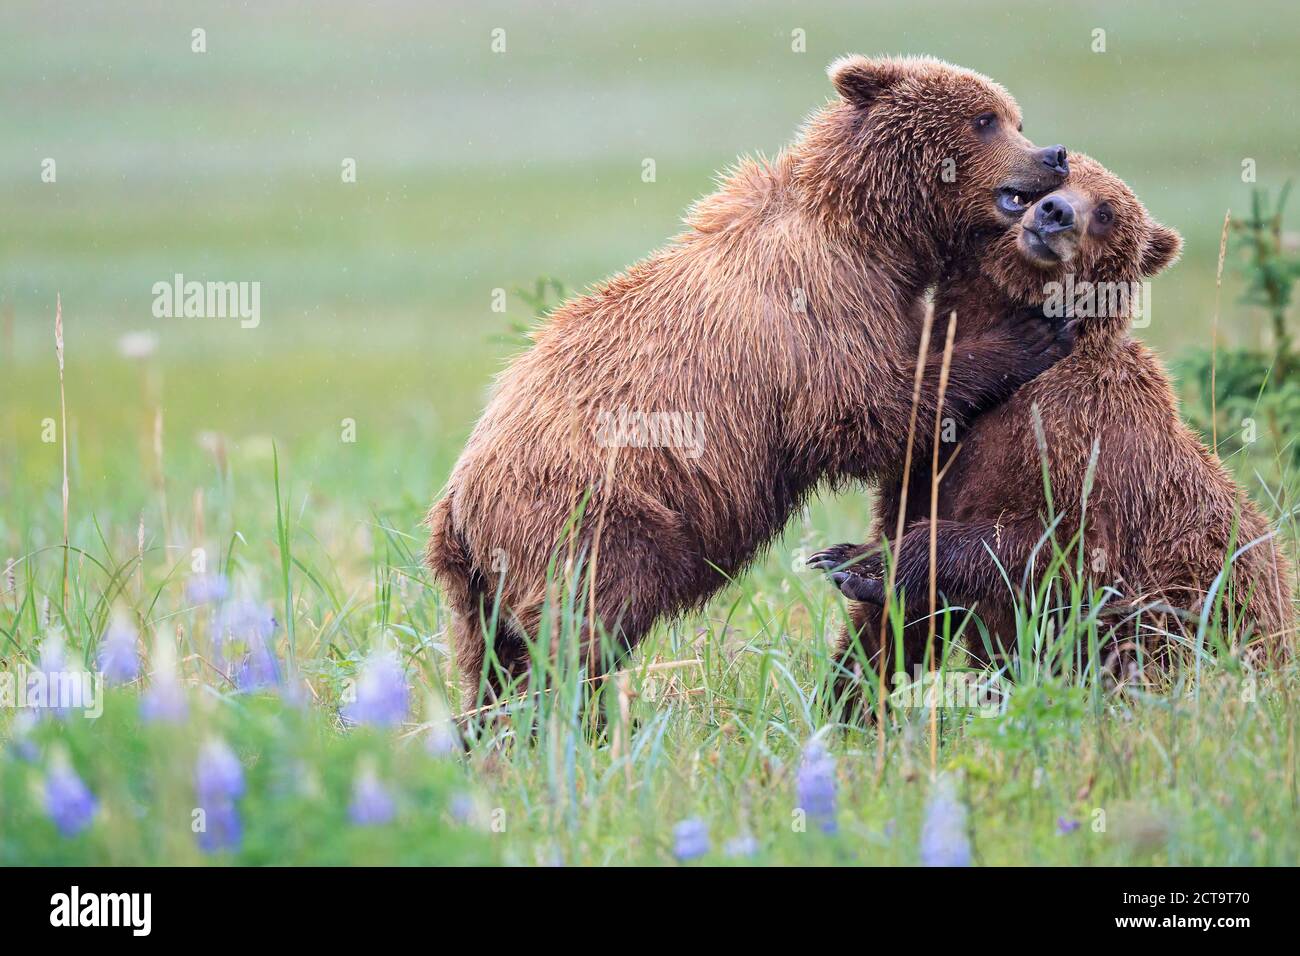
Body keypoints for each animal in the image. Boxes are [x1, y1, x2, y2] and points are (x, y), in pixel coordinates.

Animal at [427, 55, 1073, 712]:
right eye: (985, 119)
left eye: (1014, 118)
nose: (1053, 155)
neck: (876, 238)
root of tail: (456, 505)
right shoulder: (820, 305)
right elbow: (865, 407)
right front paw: (1028, 335)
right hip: (591, 514)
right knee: (582, 627)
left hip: (480, 587)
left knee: (491, 659)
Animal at [812, 153, 1294, 717]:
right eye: (1041, 187)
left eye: (1106, 211)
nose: (1057, 212)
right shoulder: (933, 444)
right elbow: (889, 625)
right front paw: (844, 696)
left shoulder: (1080, 437)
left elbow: (1064, 547)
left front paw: (864, 560)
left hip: (1209, 610)